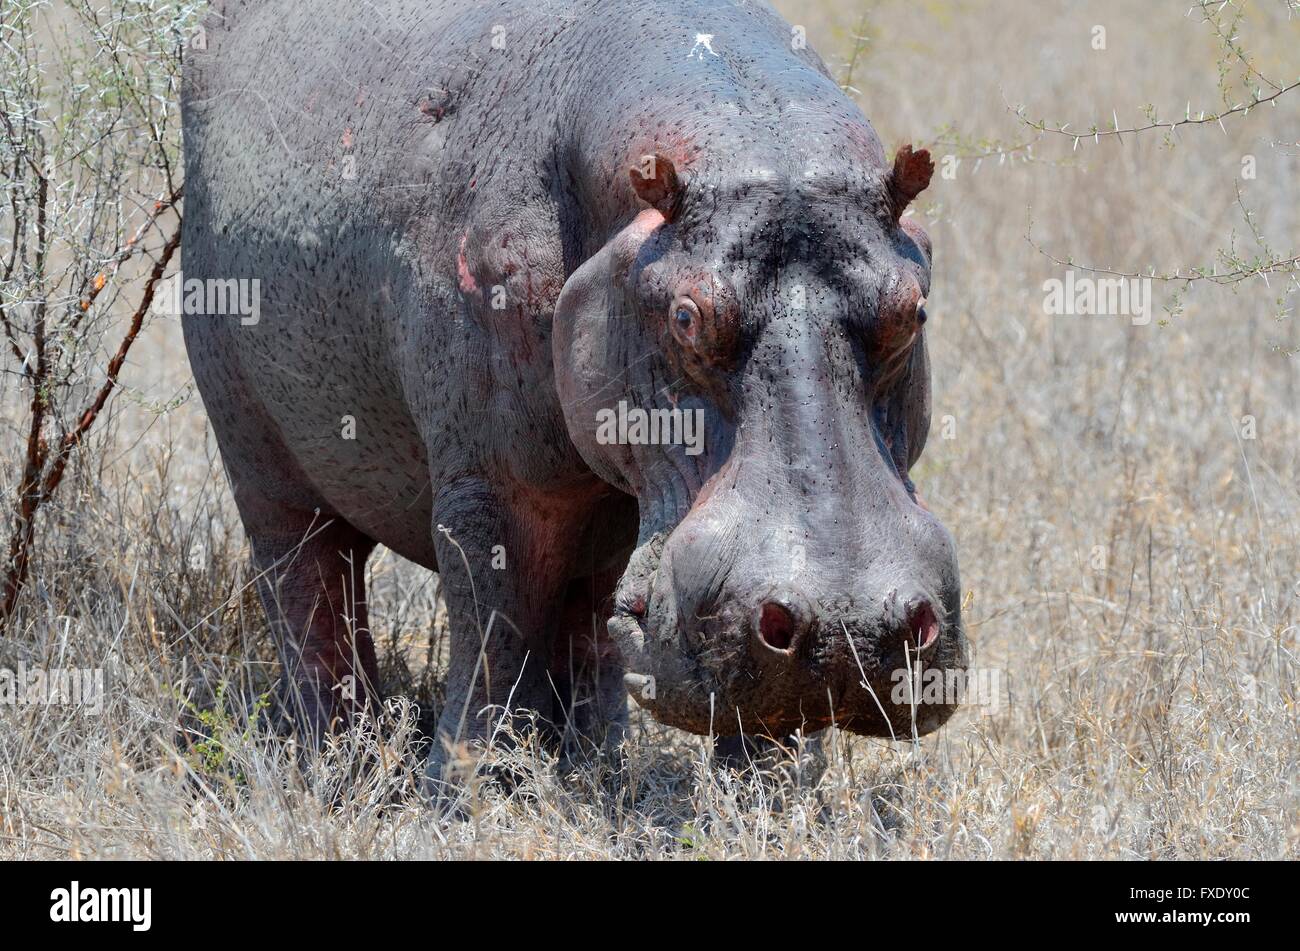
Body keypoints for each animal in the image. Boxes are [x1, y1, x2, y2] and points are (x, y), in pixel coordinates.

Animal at [180, 0, 968, 783]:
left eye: (914, 311)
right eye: (686, 315)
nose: (846, 628)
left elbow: (763, 712)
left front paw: (766, 800)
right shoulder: (496, 492)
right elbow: (494, 636)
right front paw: (464, 791)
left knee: (587, 612)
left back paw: (594, 761)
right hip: (259, 456)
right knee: (309, 587)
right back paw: (333, 759)